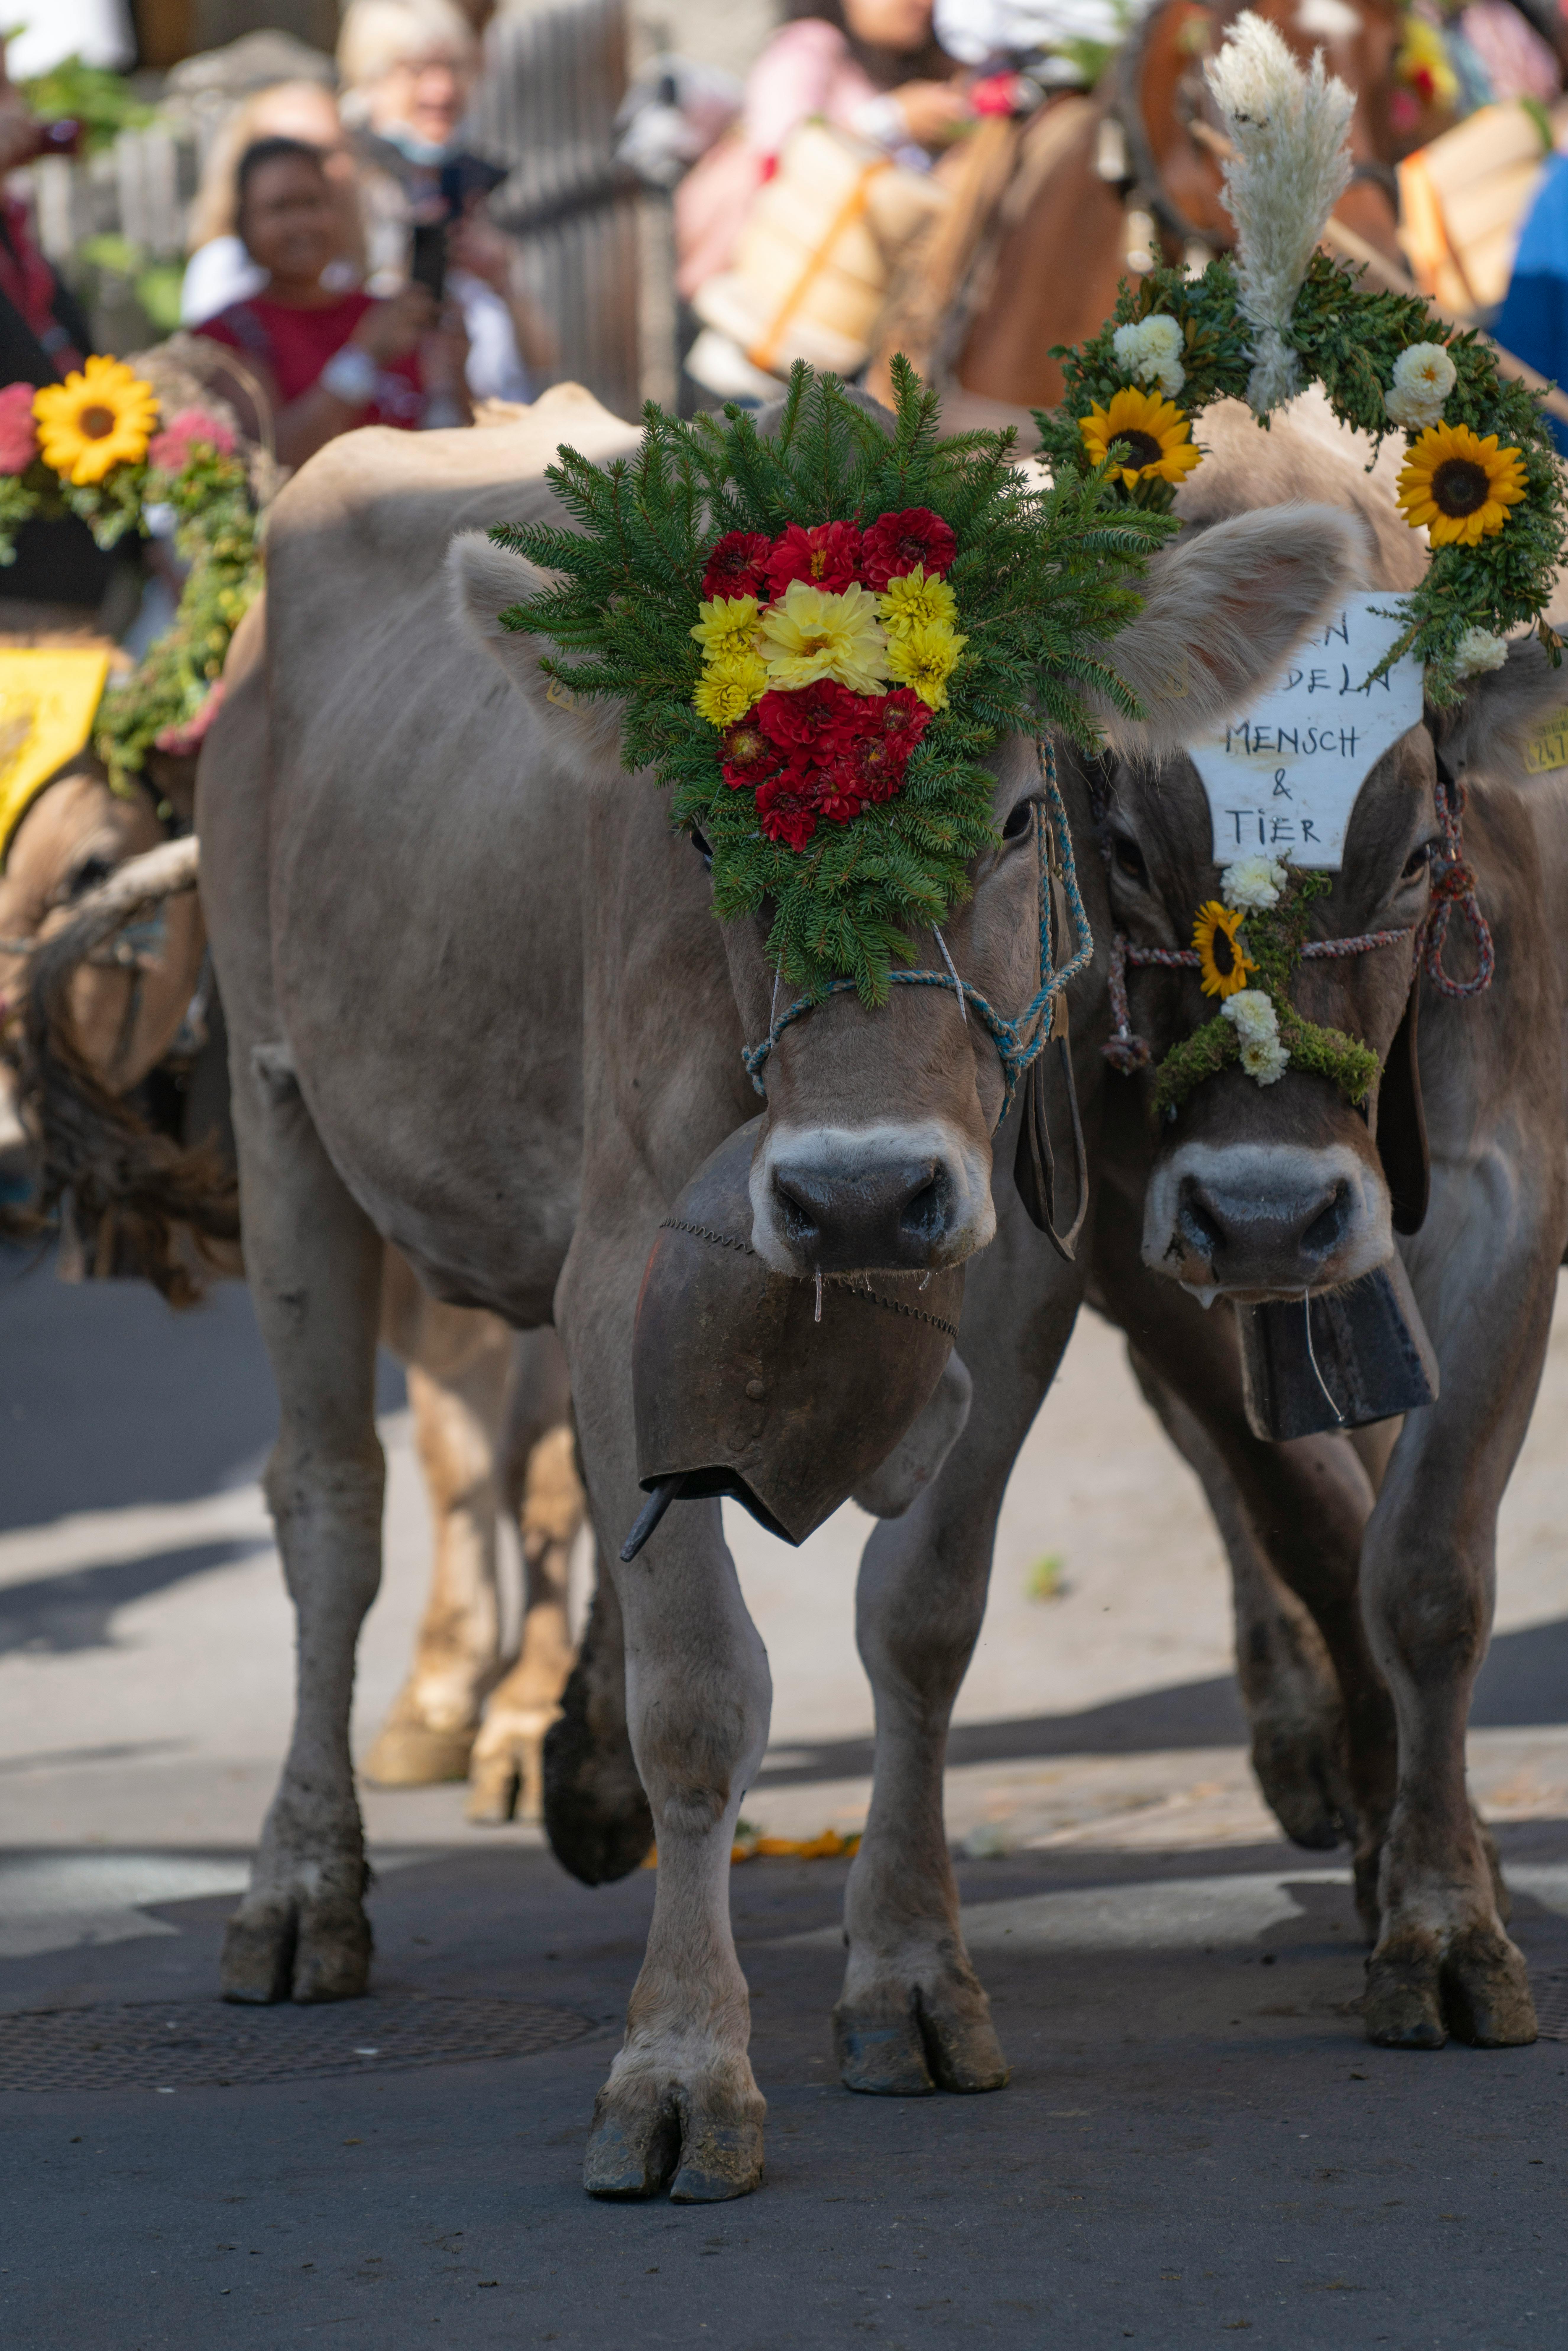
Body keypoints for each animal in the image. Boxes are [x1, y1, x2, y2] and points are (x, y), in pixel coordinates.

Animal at [193, 375, 1364, 2198]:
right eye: (703, 825)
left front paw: (912, 1974)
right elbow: (698, 1692)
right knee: (332, 1508)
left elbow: (922, 1623)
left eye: (1017, 817)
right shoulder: (618, 1268)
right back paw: (302, 1887)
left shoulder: (1014, 1276)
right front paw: (681, 2064)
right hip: (282, 1113)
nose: (859, 1188)